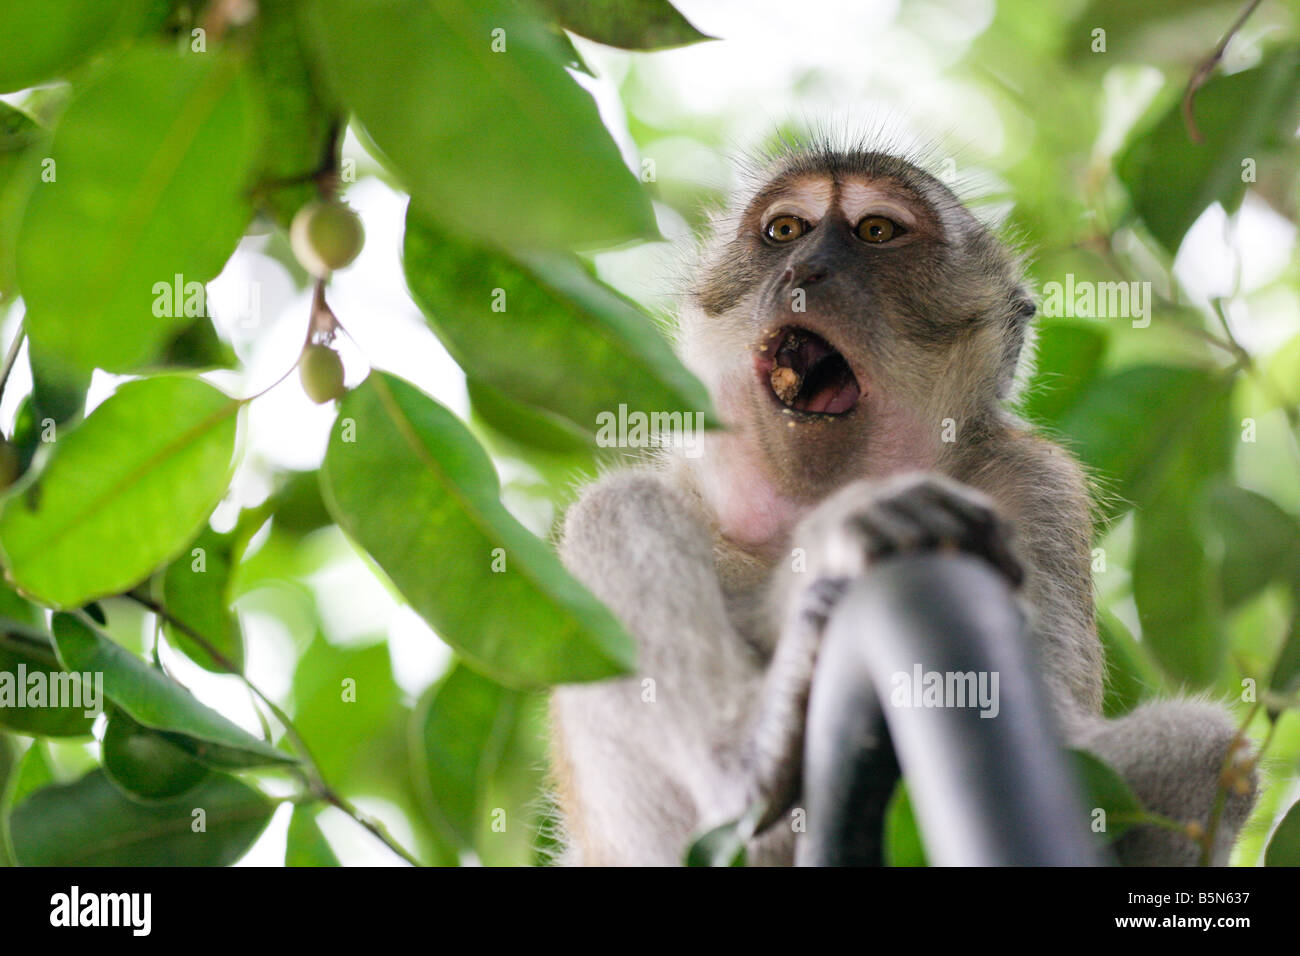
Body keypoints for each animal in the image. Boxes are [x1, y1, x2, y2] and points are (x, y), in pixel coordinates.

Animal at [547, 136, 1257, 867]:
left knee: (1209, 754)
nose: (804, 268)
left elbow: (1069, 736)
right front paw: (837, 532)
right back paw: (746, 761)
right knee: (617, 509)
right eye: (785, 230)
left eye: (877, 232)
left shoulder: (1039, 487)